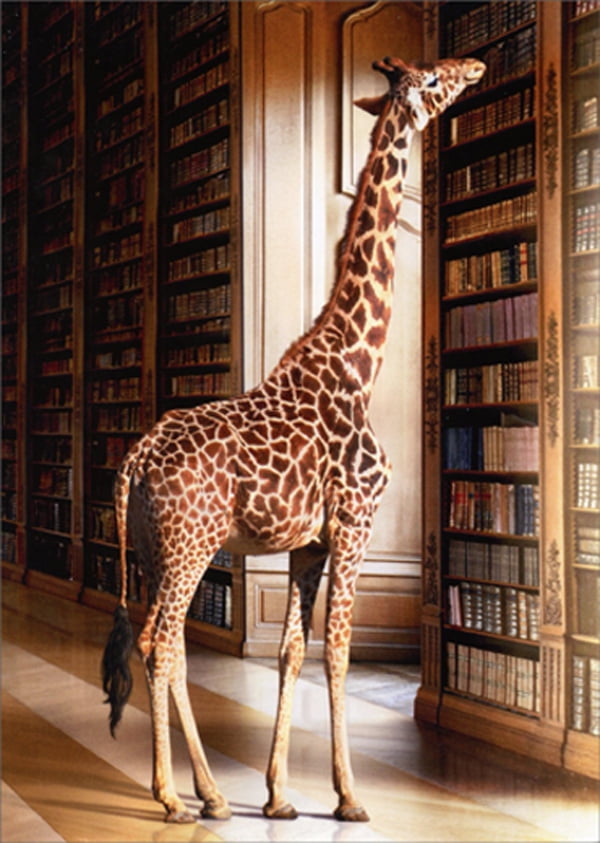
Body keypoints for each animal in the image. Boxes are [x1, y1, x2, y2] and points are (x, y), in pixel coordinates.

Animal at [102, 54, 486, 825]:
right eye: (433, 81)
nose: (475, 65)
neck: (358, 361)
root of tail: (136, 459)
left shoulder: (307, 545)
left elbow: (291, 653)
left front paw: (280, 794)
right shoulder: (357, 522)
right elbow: (337, 651)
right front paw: (349, 796)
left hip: (159, 549)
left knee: (168, 642)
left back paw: (215, 794)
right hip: (189, 546)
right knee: (160, 644)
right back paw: (172, 797)